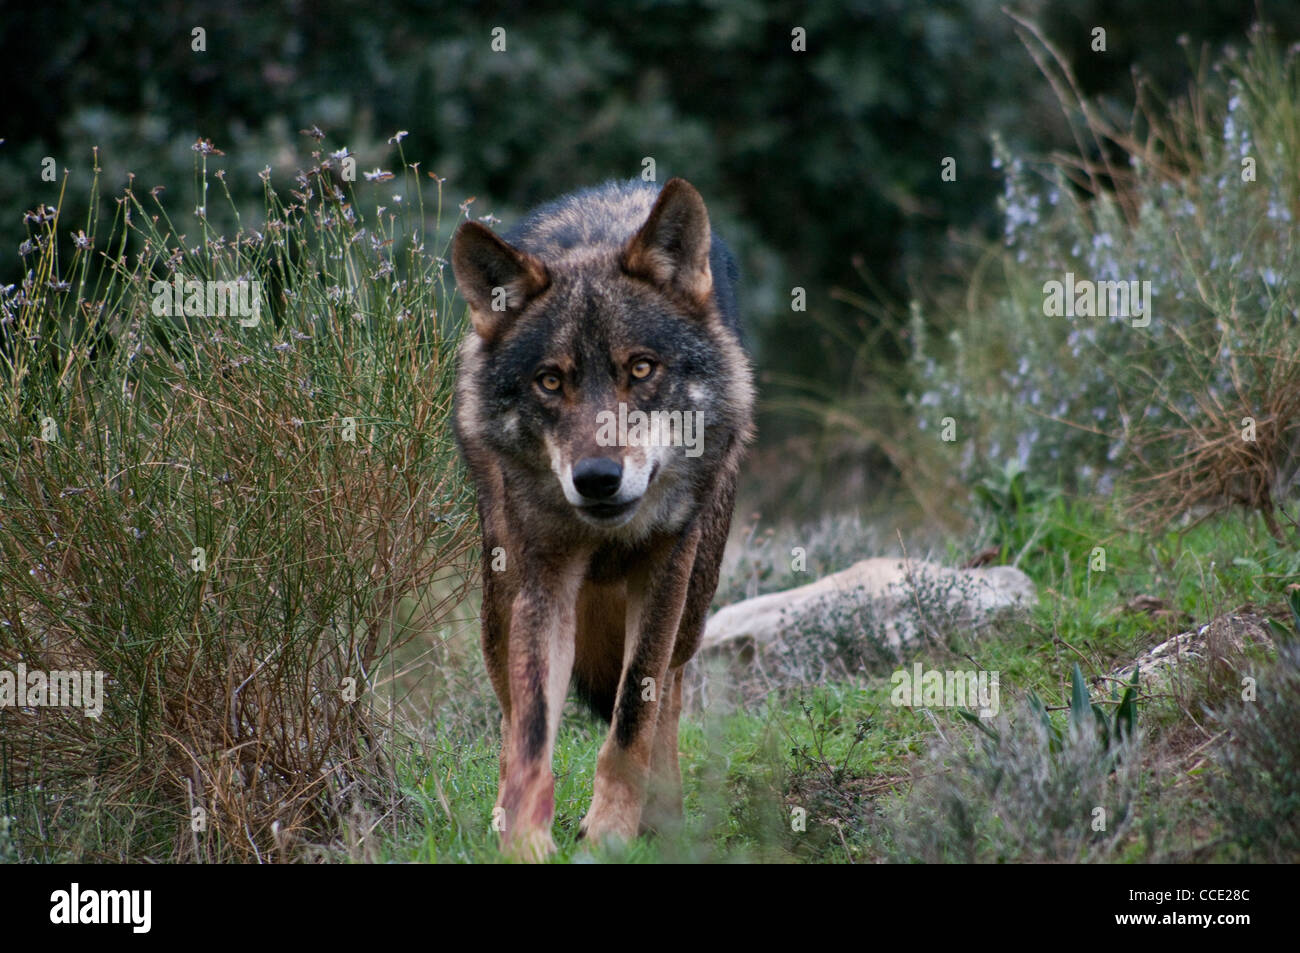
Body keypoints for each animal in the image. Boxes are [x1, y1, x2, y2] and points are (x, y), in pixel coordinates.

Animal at [451, 178, 754, 860]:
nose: (595, 479)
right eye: (550, 381)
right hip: (496, 599)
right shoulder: (543, 577)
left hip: (697, 595)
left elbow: (632, 716)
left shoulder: (667, 564)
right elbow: (533, 728)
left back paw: (664, 816)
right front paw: (525, 840)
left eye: (640, 368)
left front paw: (613, 833)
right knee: (509, 709)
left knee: (669, 690)